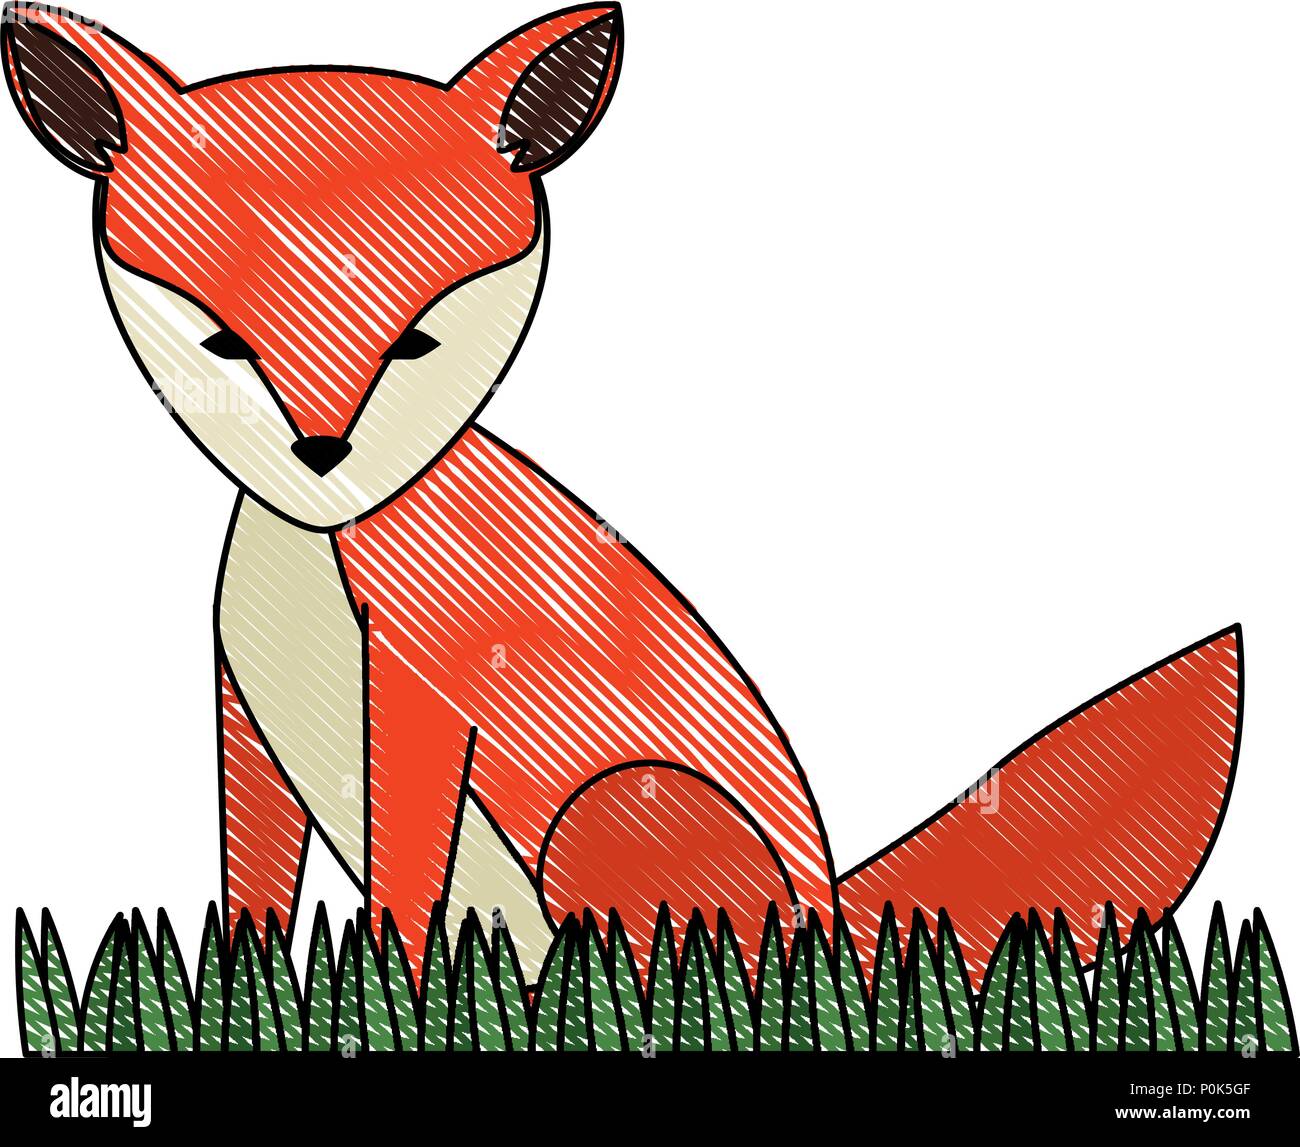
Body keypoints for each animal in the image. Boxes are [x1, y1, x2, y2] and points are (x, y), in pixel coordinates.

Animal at [3, 2, 1242, 988]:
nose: (321, 451)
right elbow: (251, 889)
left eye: (415, 341)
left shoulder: (421, 683)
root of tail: (842, 918)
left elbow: (401, 895)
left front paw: (390, 1000)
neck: (324, 549)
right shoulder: (248, 701)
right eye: (223, 341)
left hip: (624, 810)